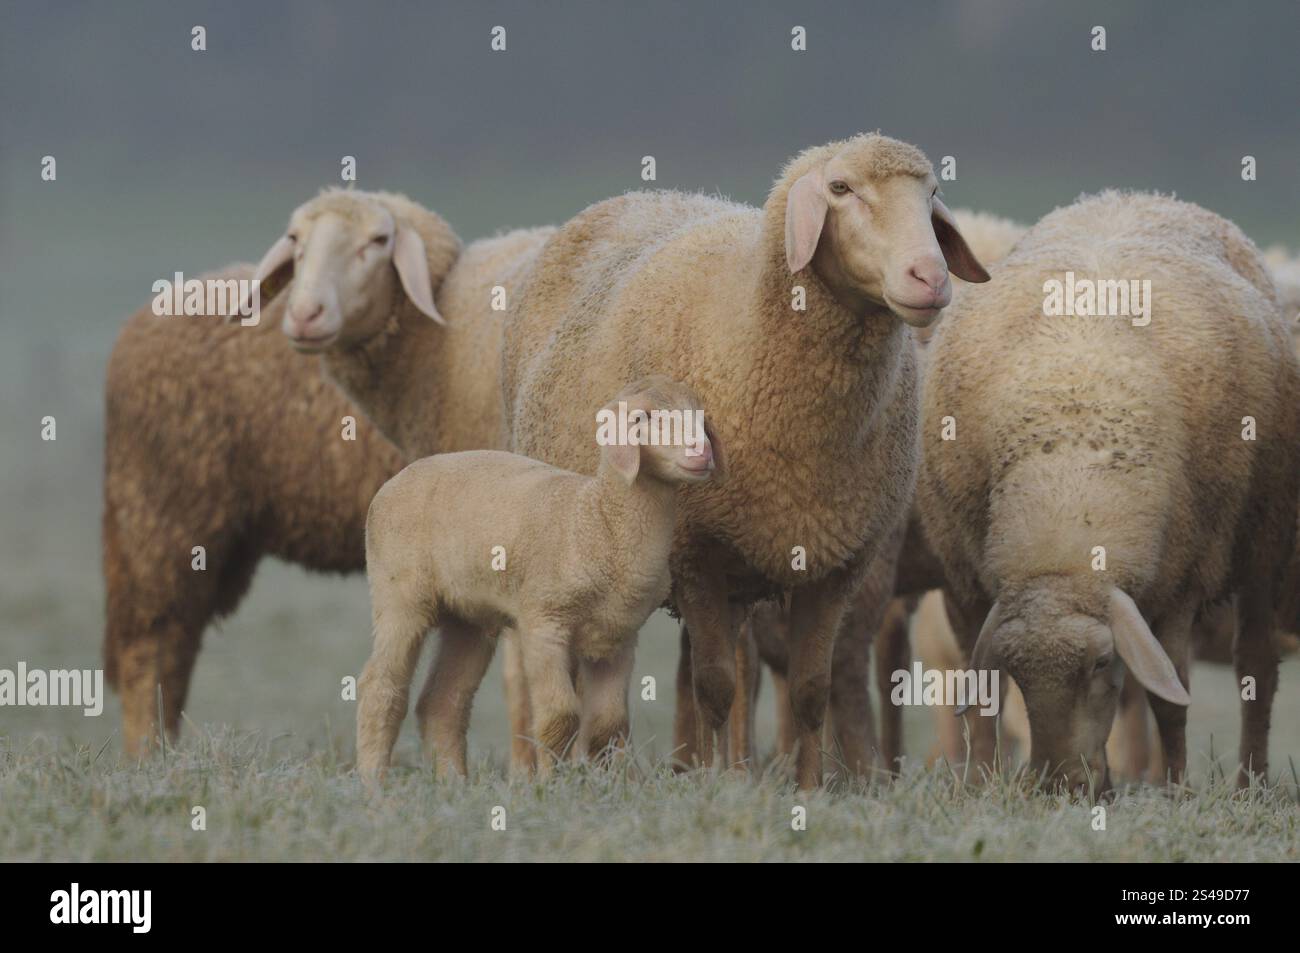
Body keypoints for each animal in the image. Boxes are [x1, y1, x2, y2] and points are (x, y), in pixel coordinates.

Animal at [355, 378, 719, 779]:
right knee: (380, 689)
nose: (702, 453)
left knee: (442, 702)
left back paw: (454, 782)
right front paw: (548, 783)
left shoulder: (618, 638)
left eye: (699, 415)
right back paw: (374, 783)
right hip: (399, 595)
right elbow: (560, 717)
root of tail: (394, 482)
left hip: (467, 617)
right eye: (643, 417)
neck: (596, 520)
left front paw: (606, 784)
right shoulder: (544, 623)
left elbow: (608, 725)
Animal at [502, 133, 990, 789]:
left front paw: (807, 787)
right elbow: (716, 687)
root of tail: (634, 195)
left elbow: (810, 690)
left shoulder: (837, 563)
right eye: (840, 188)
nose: (931, 277)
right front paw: (717, 785)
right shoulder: (696, 554)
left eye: (932, 192)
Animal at [918, 191, 1300, 791]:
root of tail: (1134, 196)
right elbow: (980, 693)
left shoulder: (1180, 576)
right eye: (1020, 669)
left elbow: (1171, 697)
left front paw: (1175, 790)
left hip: (1265, 538)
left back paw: (1250, 783)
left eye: (1100, 663)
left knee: (1256, 669)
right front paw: (979, 783)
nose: (1061, 784)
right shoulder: (963, 581)